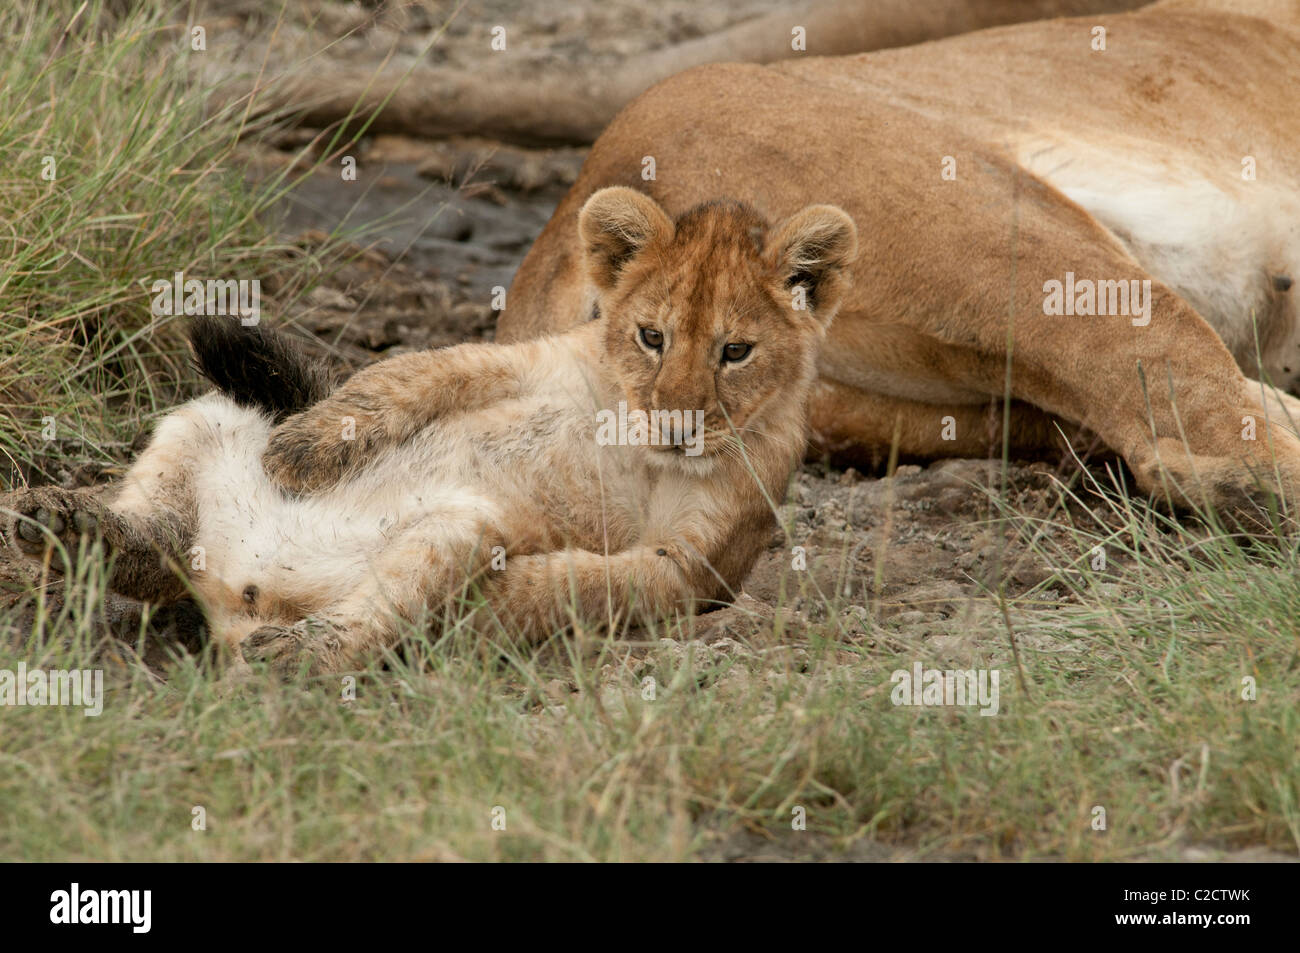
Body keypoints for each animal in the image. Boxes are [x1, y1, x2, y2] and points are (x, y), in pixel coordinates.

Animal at [1, 189, 856, 676]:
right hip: (206, 417)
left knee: (365, 612)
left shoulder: (703, 557)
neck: (630, 427)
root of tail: (235, 590)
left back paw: (303, 651)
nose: (676, 418)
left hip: (454, 528)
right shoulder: (530, 361)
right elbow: (408, 374)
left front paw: (497, 604)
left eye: (735, 352)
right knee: (156, 545)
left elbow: (605, 584)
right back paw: (60, 522)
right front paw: (302, 449)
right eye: (652, 336)